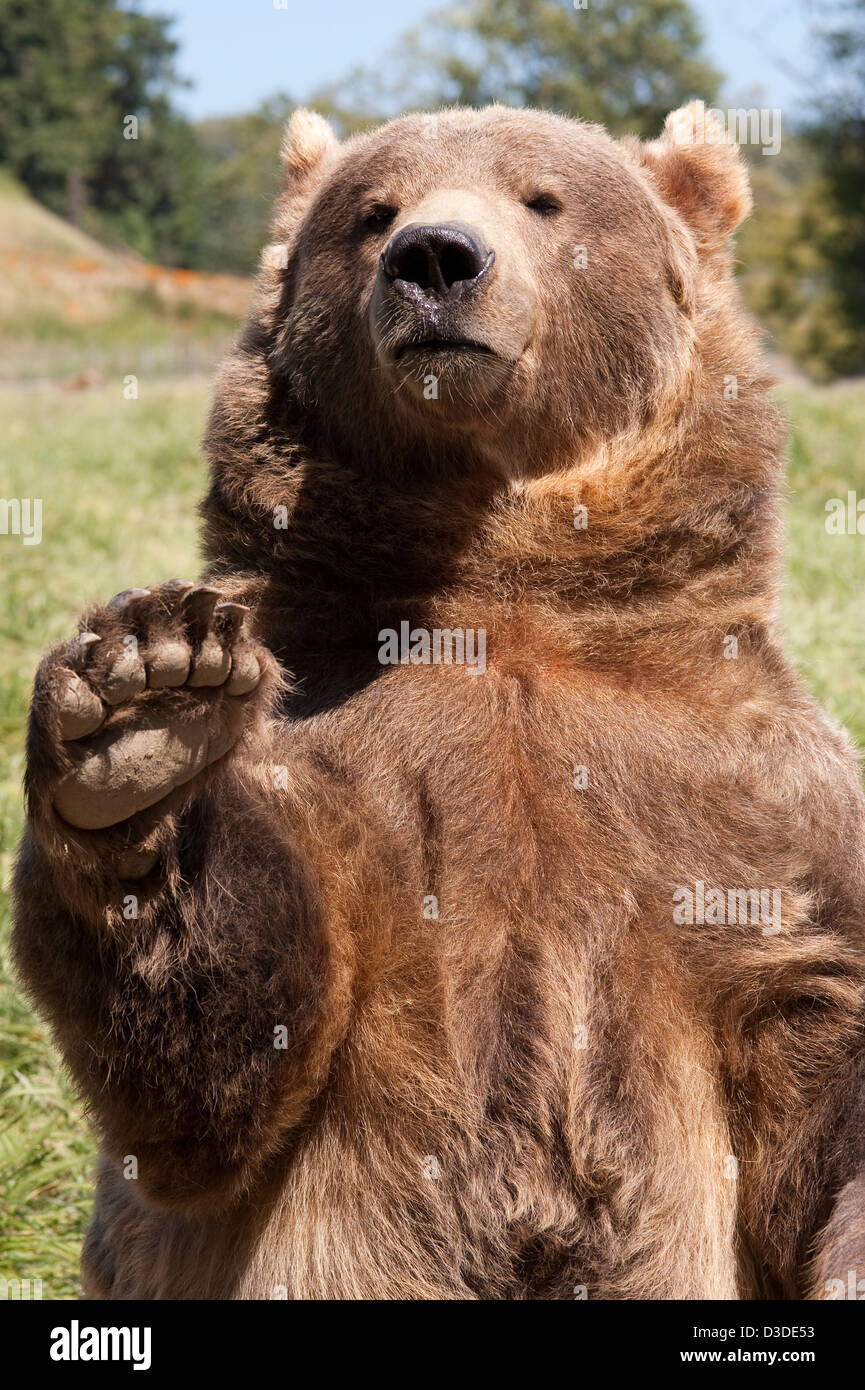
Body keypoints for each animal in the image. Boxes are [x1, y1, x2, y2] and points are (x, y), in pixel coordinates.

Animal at [12, 101, 865, 1300]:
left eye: (543, 197)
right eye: (373, 212)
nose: (436, 258)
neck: (493, 593)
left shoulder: (748, 805)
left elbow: (823, 1040)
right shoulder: (344, 758)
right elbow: (217, 1082)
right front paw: (147, 713)